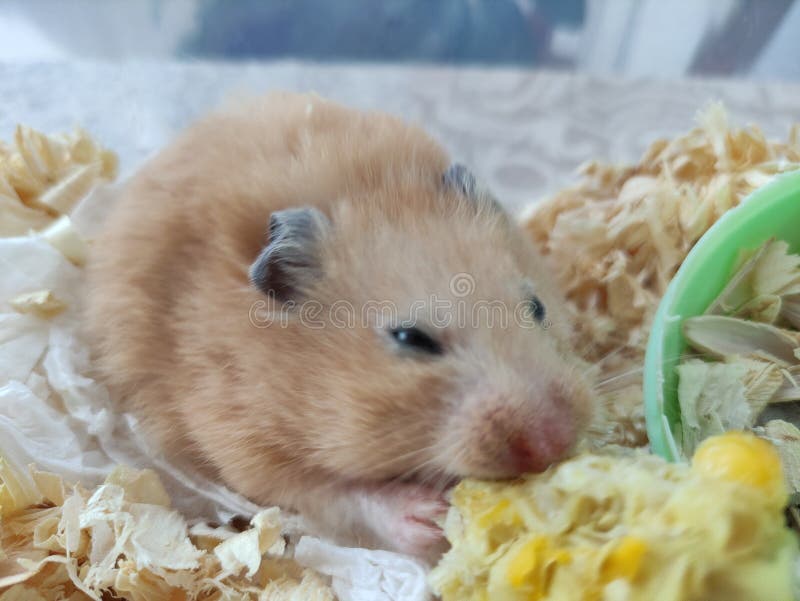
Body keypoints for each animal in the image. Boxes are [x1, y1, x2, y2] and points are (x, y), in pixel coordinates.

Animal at [85, 92, 595, 559]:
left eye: (536, 307)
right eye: (411, 338)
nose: (553, 442)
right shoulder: (237, 435)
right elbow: (334, 491)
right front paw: (429, 518)